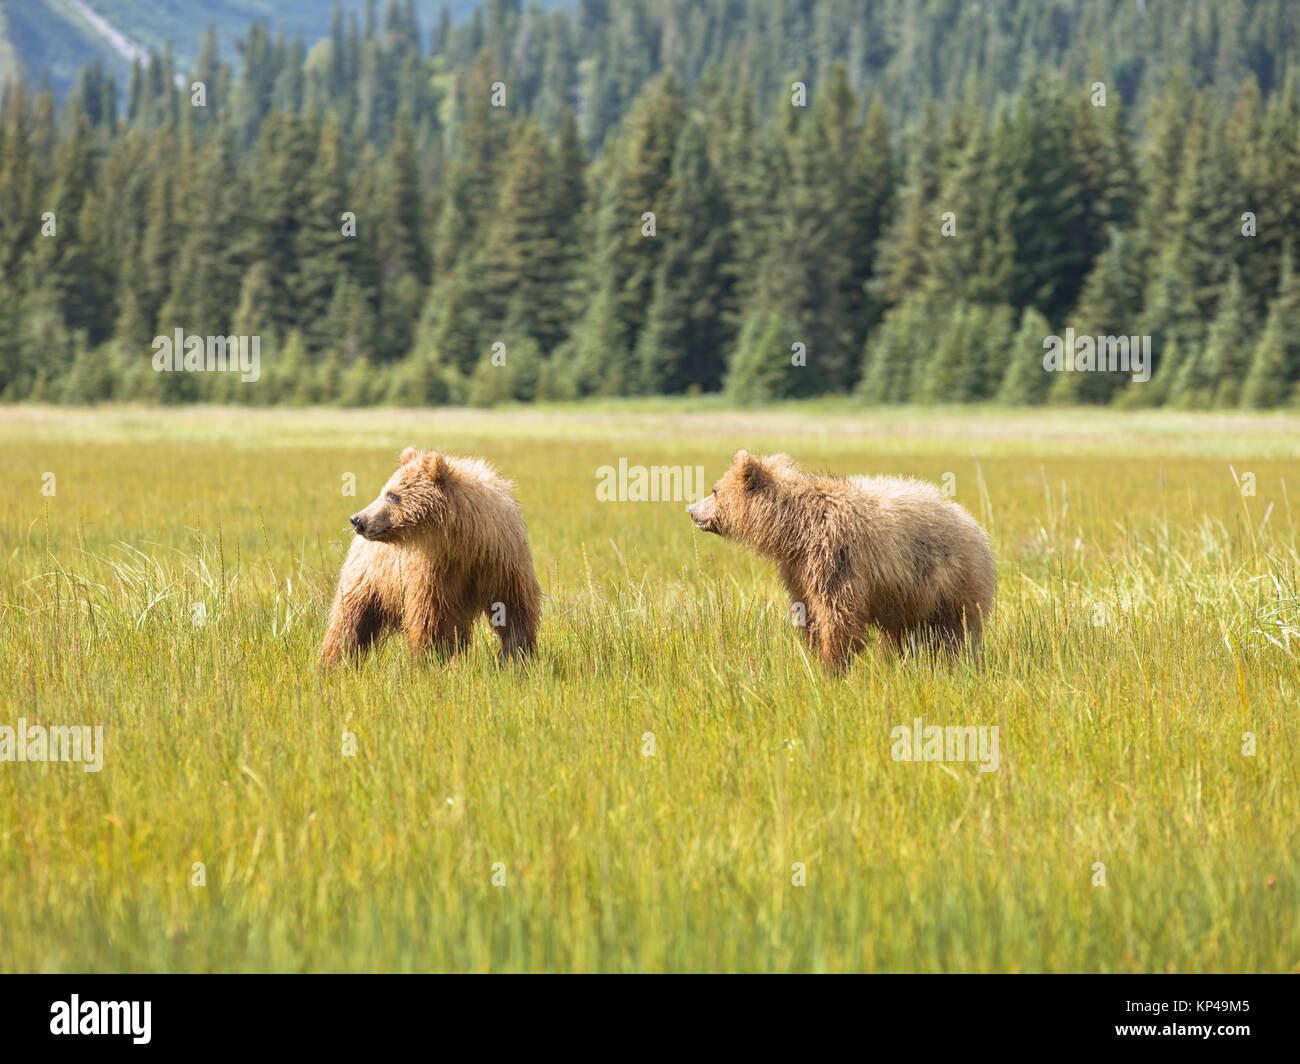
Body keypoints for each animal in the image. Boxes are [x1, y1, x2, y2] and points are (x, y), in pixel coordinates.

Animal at [320, 447, 541, 664]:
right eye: (385, 492)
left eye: (392, 495)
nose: (358, 519)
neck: (463, 545)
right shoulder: (431, 572)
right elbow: (430, 618)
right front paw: (431, 658)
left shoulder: (500, 560)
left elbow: (513, 606)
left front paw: (513, 655)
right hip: (371, 575)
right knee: (350, 618)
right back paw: (333, 661)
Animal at [687, 451, 996, 668]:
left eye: (714, 490)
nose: (691, 509)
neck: (796, 528)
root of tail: (978, 529)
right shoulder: (798, 567)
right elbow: (807, 608)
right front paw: (813, 651)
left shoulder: (835, 554)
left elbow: (837, 611)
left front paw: (832, 664)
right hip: (911, 596)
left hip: (952, 581)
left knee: (955, 631)